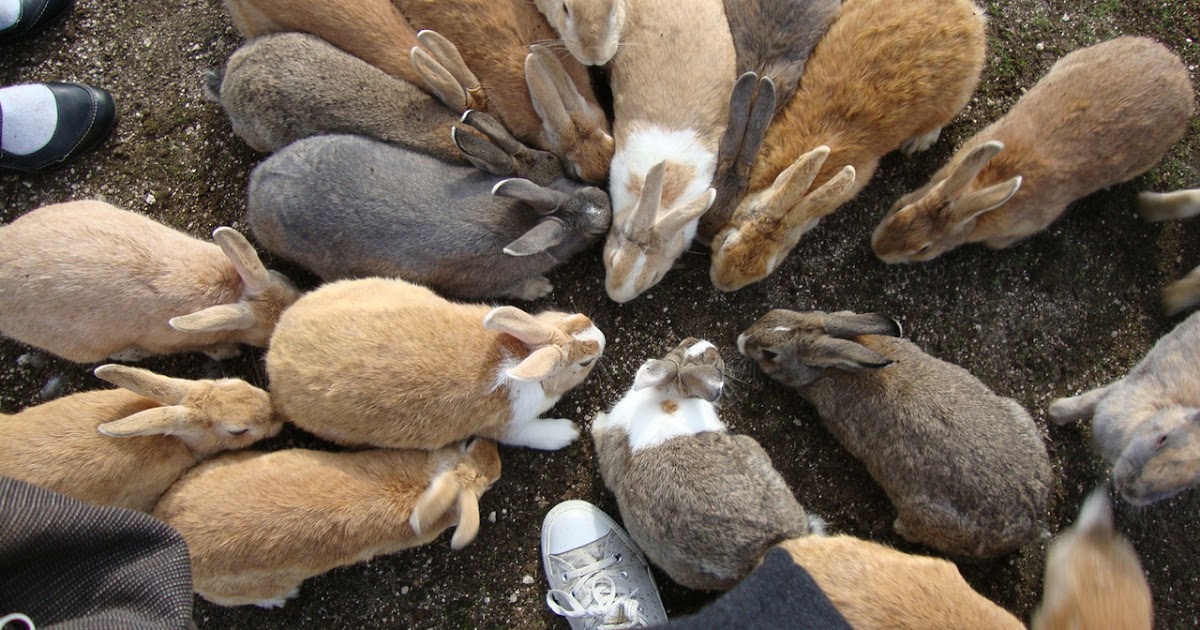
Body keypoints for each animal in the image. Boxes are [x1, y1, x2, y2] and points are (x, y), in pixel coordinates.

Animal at [245, 111, 611, 301]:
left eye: (569, 180)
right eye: (595, 231)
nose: (607, 201)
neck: (530, 220)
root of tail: (256, 186)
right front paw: (540, 288)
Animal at [266, 278, 605, 451]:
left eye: (576, 317)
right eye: (586, 362)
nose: (602, 337)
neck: (520, 357)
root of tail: (273, 356)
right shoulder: (505, 425)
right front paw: (569, 432)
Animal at [738, 309, 1052, 558]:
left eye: (769, 355)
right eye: (775, 313)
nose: (742, 339)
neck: (827, 367)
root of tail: (1029, 523)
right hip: (1020, 414)